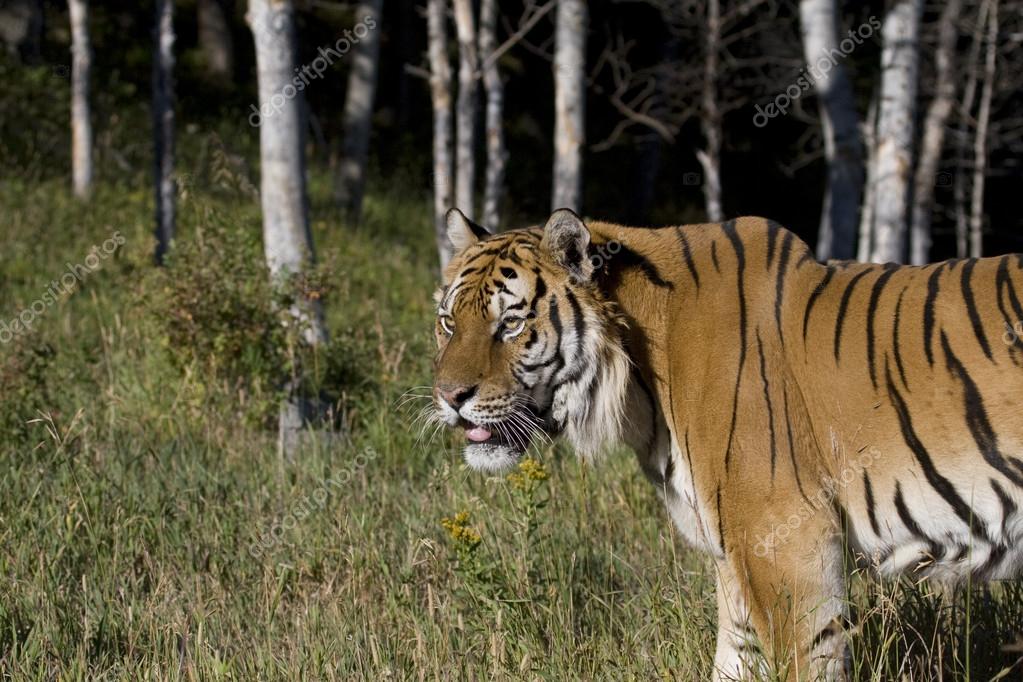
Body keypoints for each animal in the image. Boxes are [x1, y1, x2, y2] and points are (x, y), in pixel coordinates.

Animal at [430, 207, 1023, 681]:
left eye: (510, 324)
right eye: (448, 322)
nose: (448, 395)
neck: (639, 374)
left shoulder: (784, 539)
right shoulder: (736, 553)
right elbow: (735, 659)